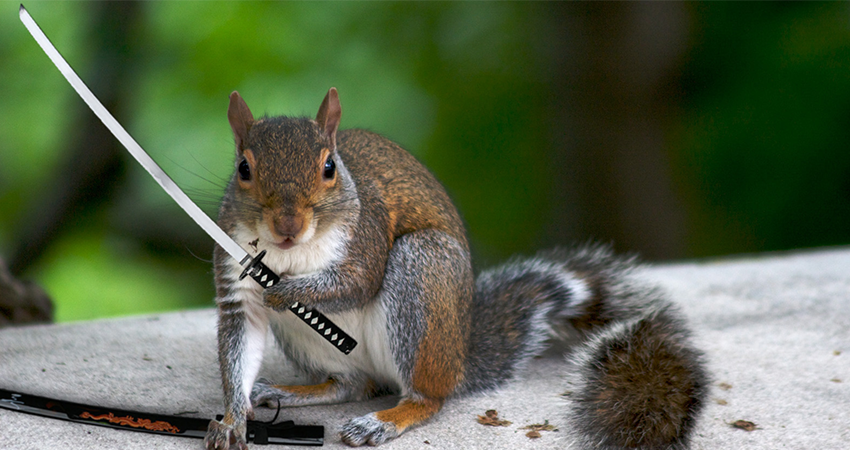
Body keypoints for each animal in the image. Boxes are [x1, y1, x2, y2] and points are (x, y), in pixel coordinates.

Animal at [204, 88, 709, 450]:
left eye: (329, 167)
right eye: (243, 169)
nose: (287, 225)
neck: (289, 254)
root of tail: (459, 357)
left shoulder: (368, 235)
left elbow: (356, 283)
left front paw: (289, 292)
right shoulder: (235, 281)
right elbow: (240, 340)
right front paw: (232, 420)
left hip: (421, 273)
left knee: (428, 397)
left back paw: (386, 420)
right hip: (317, 342)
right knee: (353, 384)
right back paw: (290, 391)